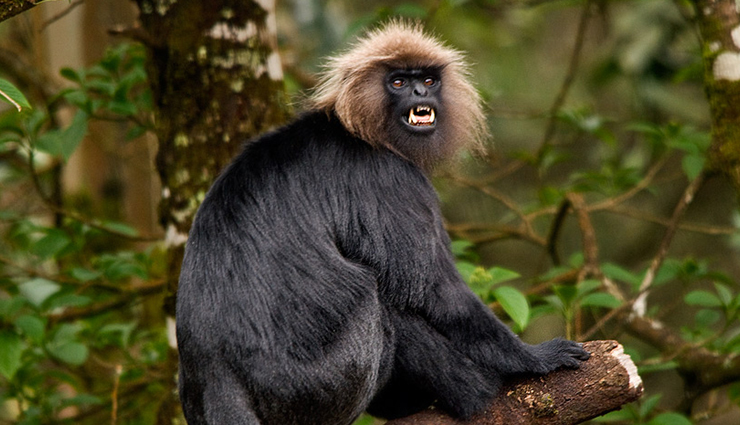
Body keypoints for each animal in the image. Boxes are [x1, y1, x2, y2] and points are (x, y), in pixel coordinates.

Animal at [175, 21, 589, 425]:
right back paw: (477, 392)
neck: (359, 128)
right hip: (321, 383)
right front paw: (533, 359)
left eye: (428, 80)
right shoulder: (390, 179)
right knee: (386, 303)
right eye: (398, 82)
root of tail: (217, 374)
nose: (419, 94)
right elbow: (436, 293)